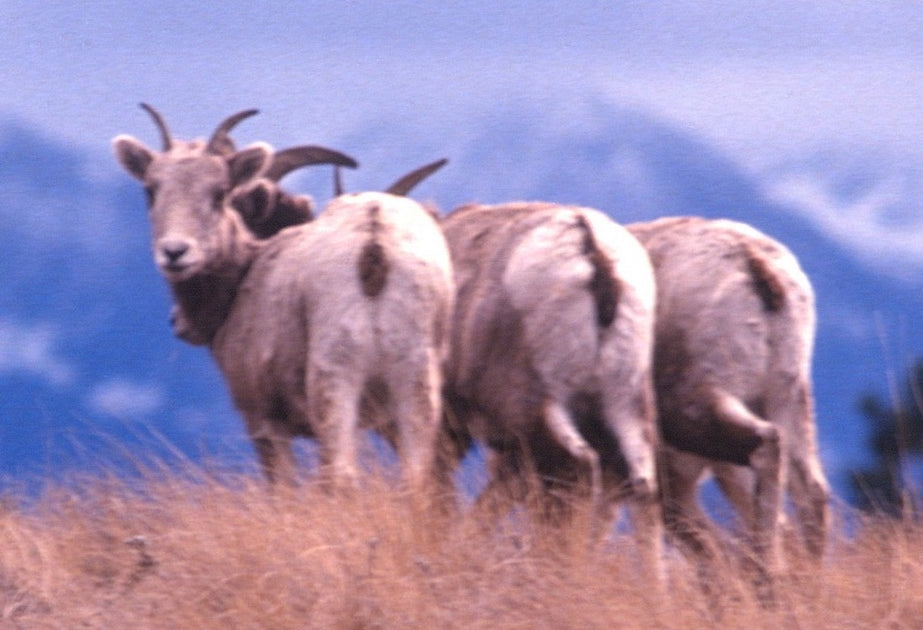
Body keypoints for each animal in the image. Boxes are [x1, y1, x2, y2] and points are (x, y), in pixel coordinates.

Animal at [112, 105, 455, 493]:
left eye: (221, 192)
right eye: (151, 190)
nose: (175, 252)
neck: (247, 276)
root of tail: (374, 242)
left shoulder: (265, 421)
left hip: (336, 382)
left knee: (341, 476)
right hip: (416, 383)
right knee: (418, 478)